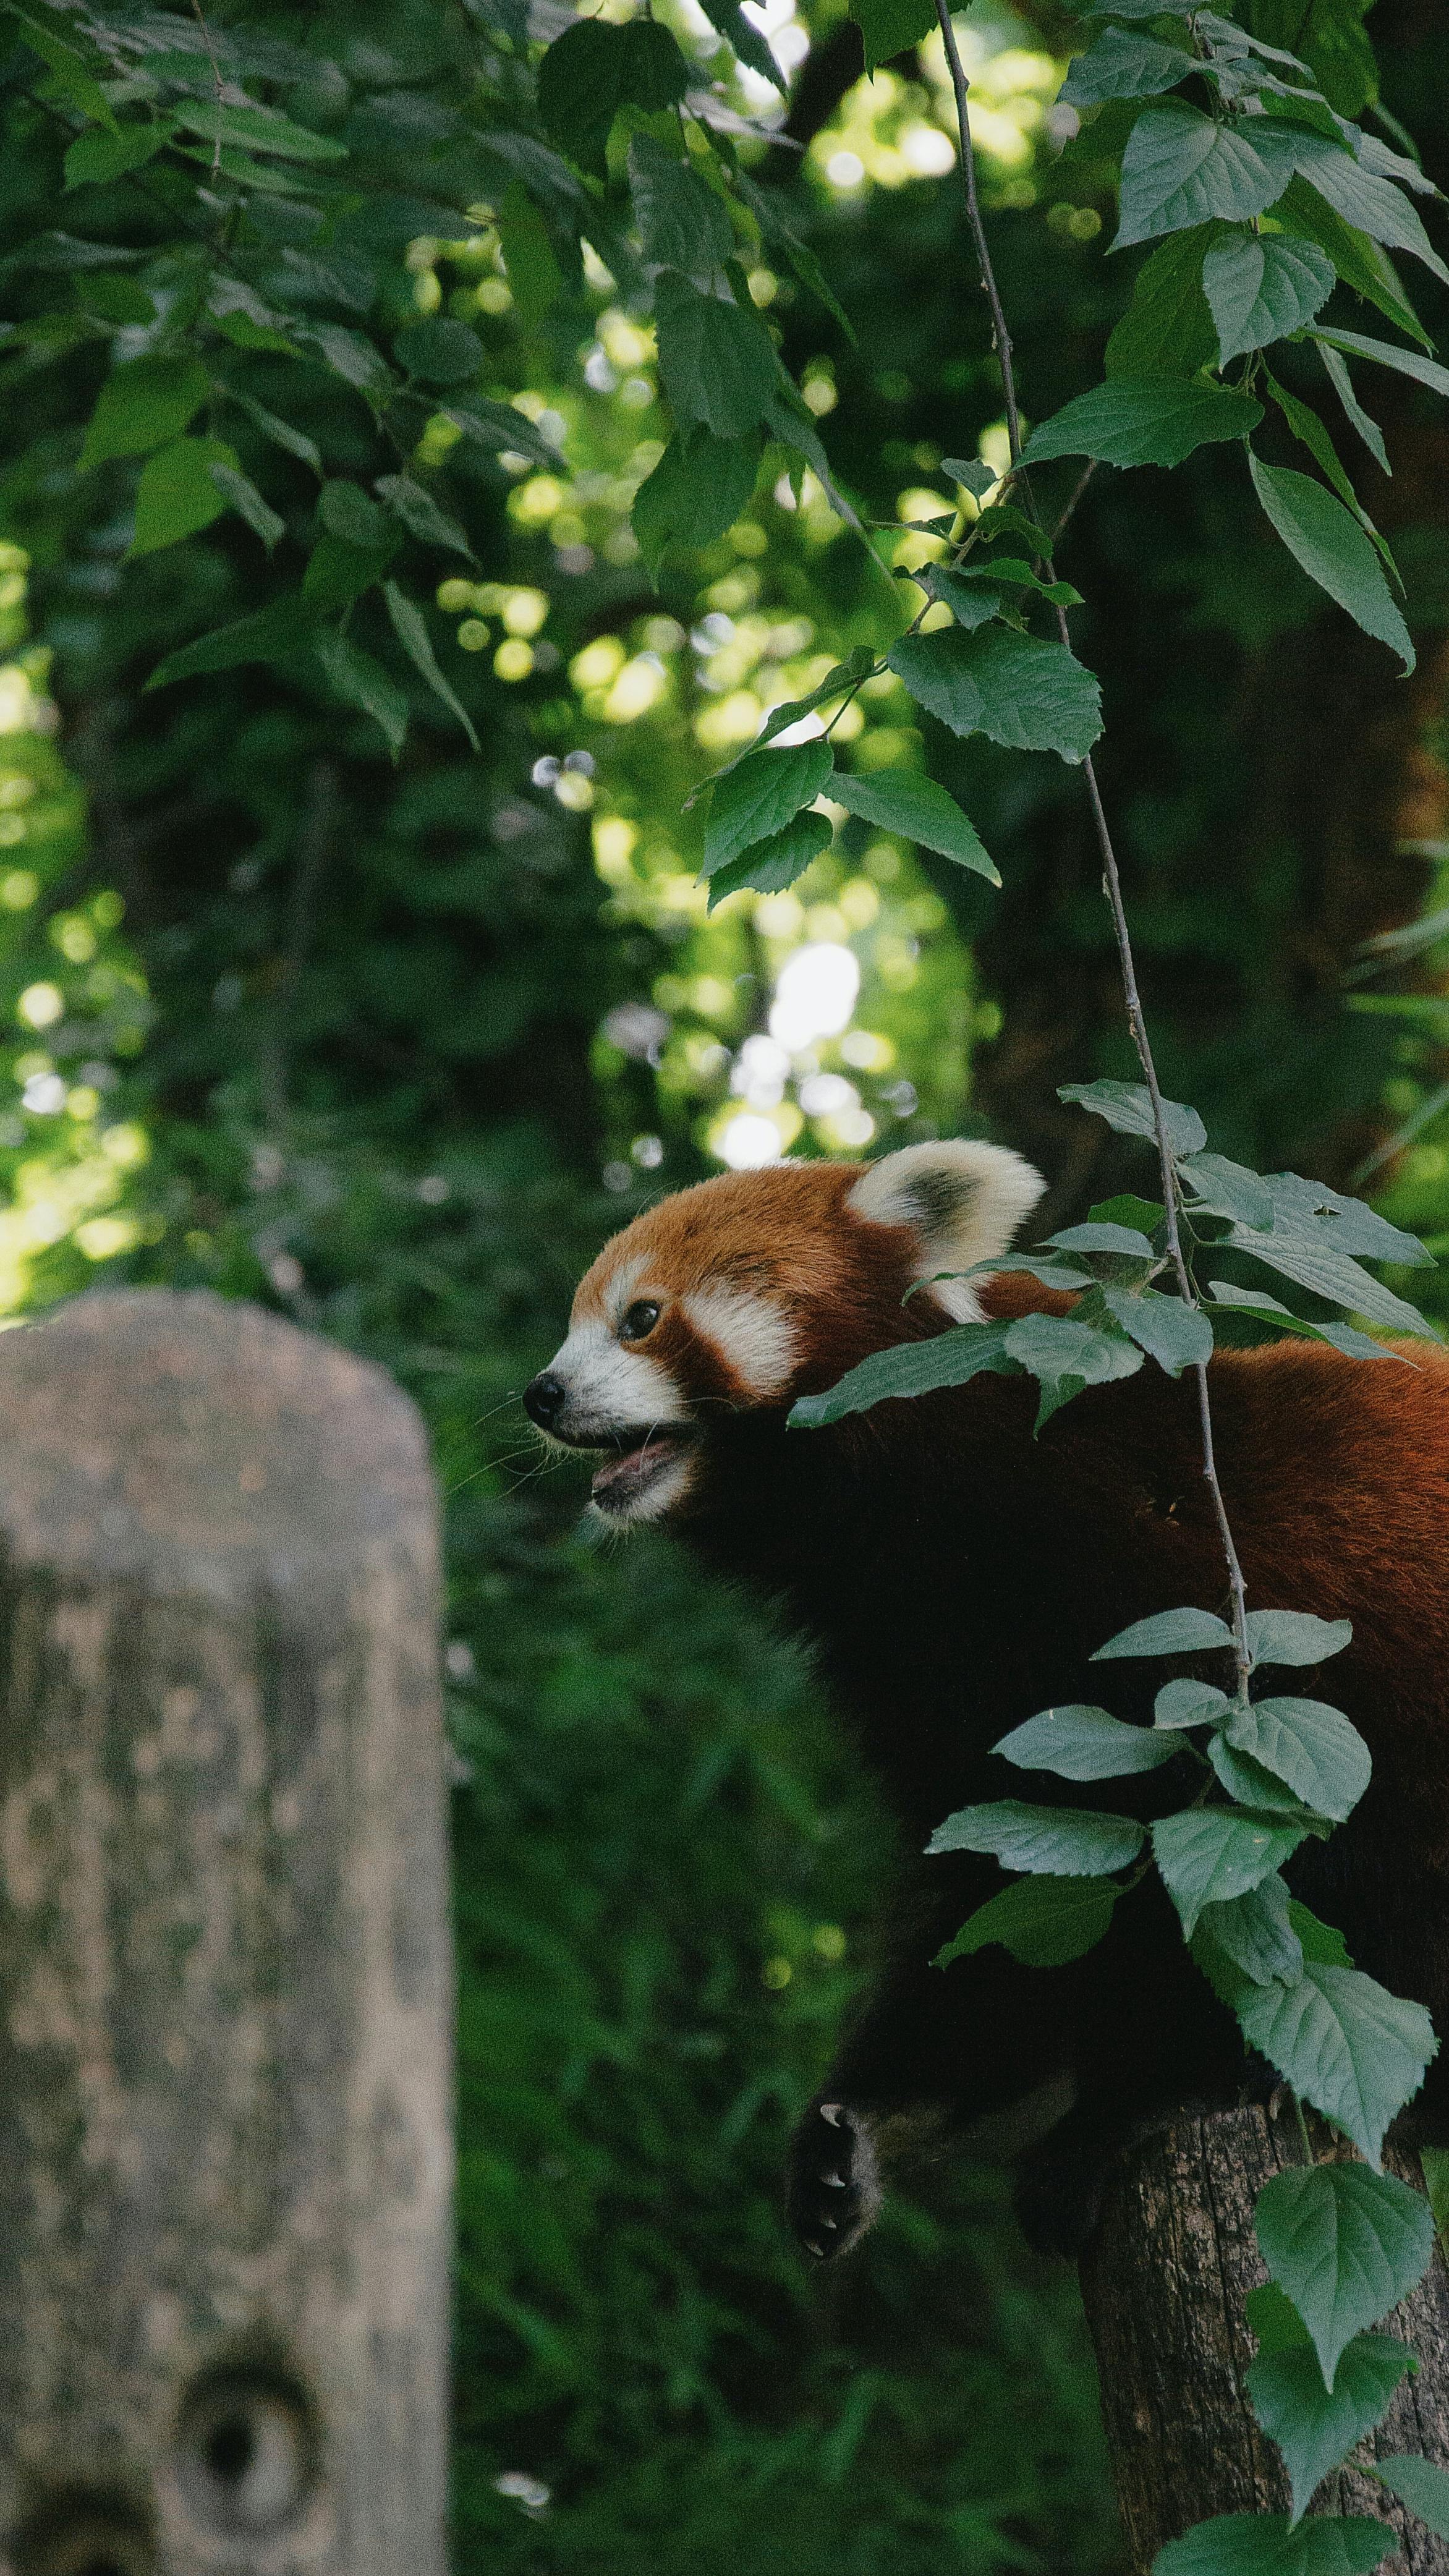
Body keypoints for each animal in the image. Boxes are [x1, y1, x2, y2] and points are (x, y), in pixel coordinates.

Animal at [524, 1140, 1449, 2260]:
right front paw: (859, 2128)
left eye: (641, 1318)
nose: (540, 1392)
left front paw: (1152, 2098)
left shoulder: (1221, 1638)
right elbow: (1009, 1899)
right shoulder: (949, 1687)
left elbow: (1250, 1890)